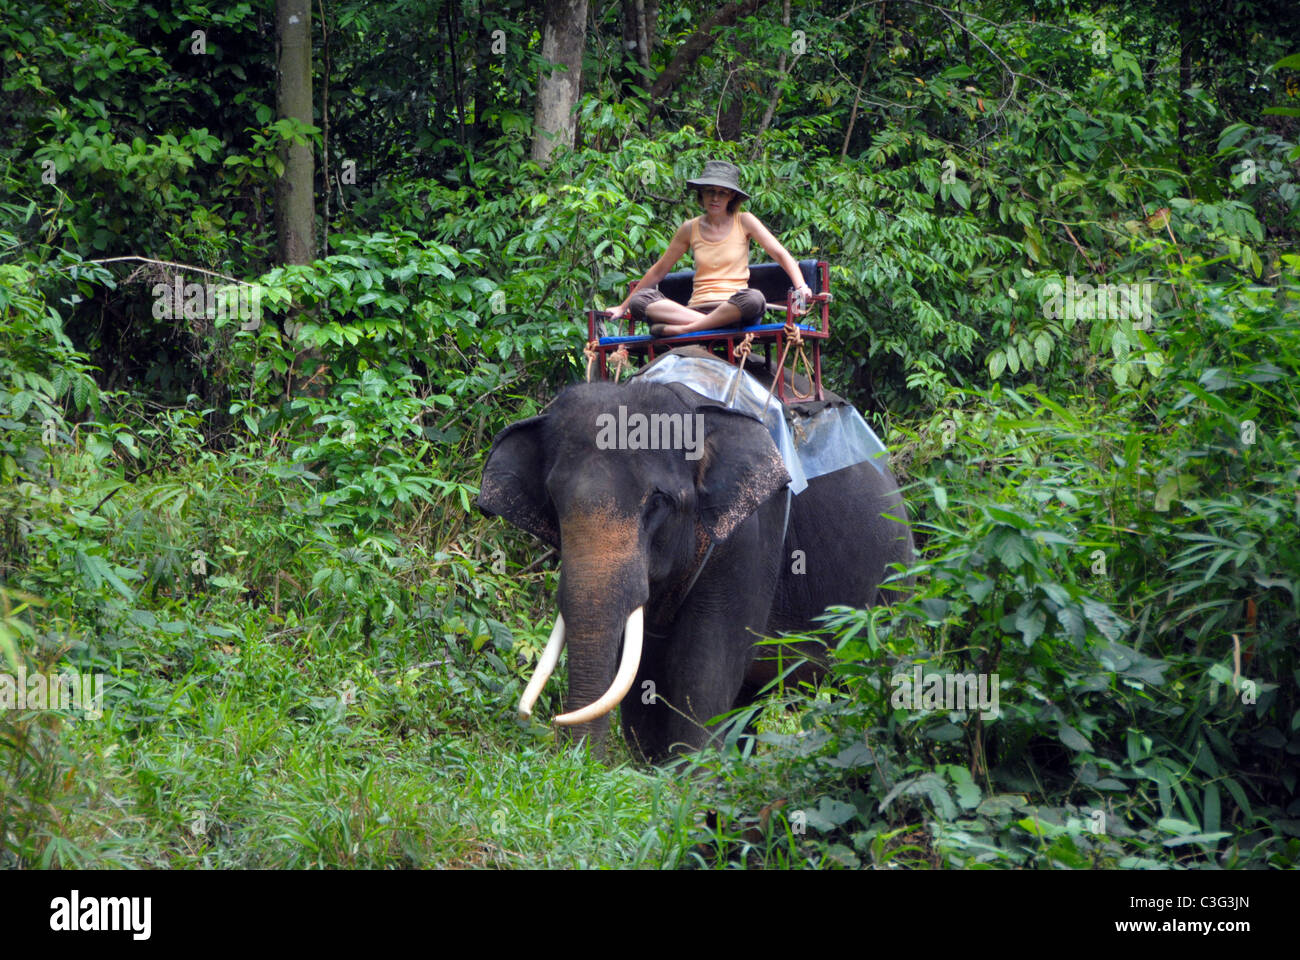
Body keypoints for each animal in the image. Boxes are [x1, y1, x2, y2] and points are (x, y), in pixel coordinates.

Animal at [478, 349, 914, 762]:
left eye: (658, 502)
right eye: (554, 500)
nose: (554, 721)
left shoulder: (750, 534)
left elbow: (703, 671)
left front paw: (689, 777)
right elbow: (644, 681)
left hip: (894, 577)